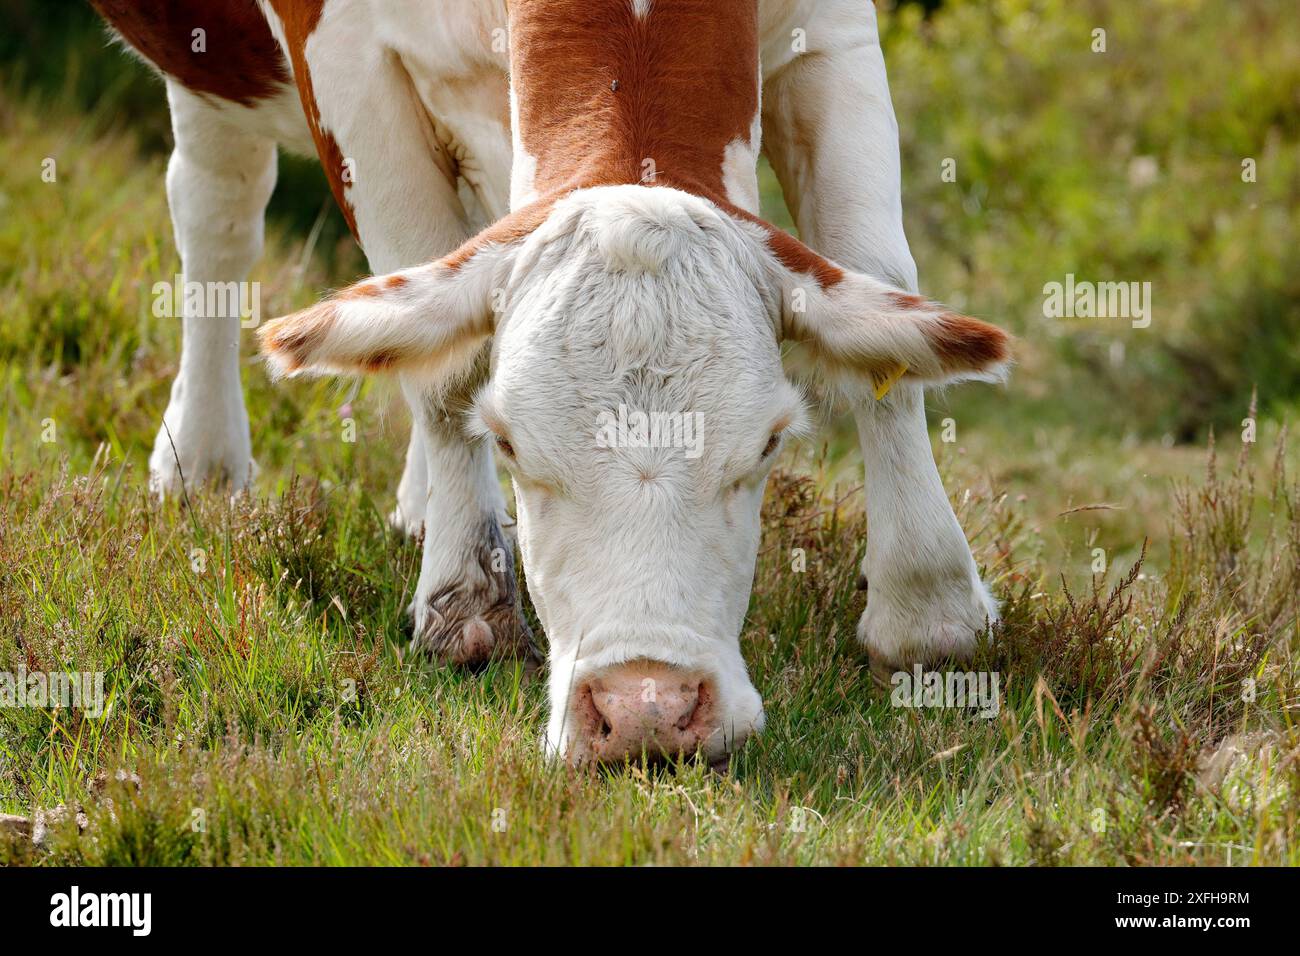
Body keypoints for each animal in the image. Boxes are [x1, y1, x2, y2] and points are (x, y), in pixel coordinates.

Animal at [91, 0, 1010, 765]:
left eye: (767, 447)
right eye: (510, 446)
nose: (646, 710)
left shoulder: (834, 29)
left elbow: (880, 284)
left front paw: (927, 606)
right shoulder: (345, 63)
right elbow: (446, 374)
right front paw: (468, 603)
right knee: (217, 208)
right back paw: (204, 463)